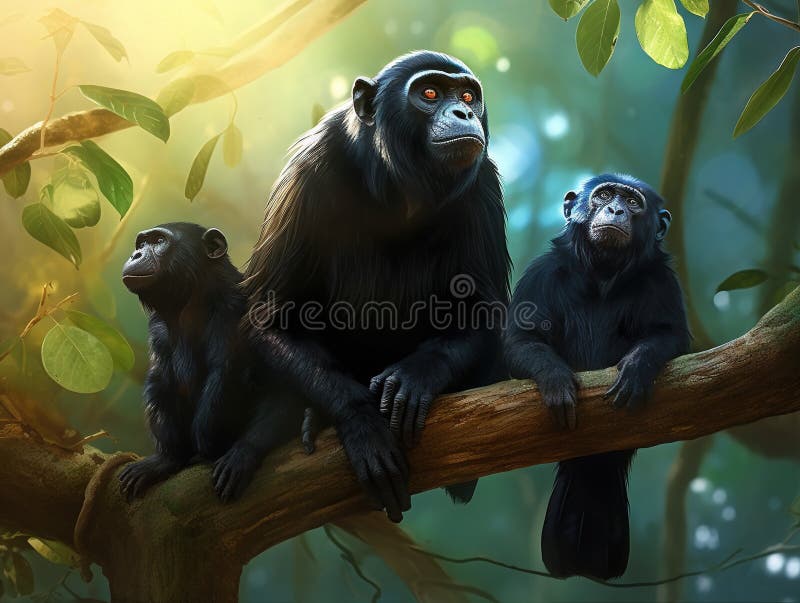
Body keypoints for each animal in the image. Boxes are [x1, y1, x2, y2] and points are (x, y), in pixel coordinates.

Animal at [242, 51, 510, 521]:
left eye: (466, 97)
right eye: (429, 93)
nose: (462, 113)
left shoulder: (483, 187)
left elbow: (484, 314)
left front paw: (415, 375)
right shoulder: (307, 173)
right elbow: (269, 317)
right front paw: (361, 422)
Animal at [503, 174, 690, 579]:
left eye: (633, 202)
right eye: (604, 195)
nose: (615, 209)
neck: (604, 273)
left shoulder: (663, 281)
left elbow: (670, 336)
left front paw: (636, 367)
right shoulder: (541, 272)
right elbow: (521, 340)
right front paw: (557, 382)